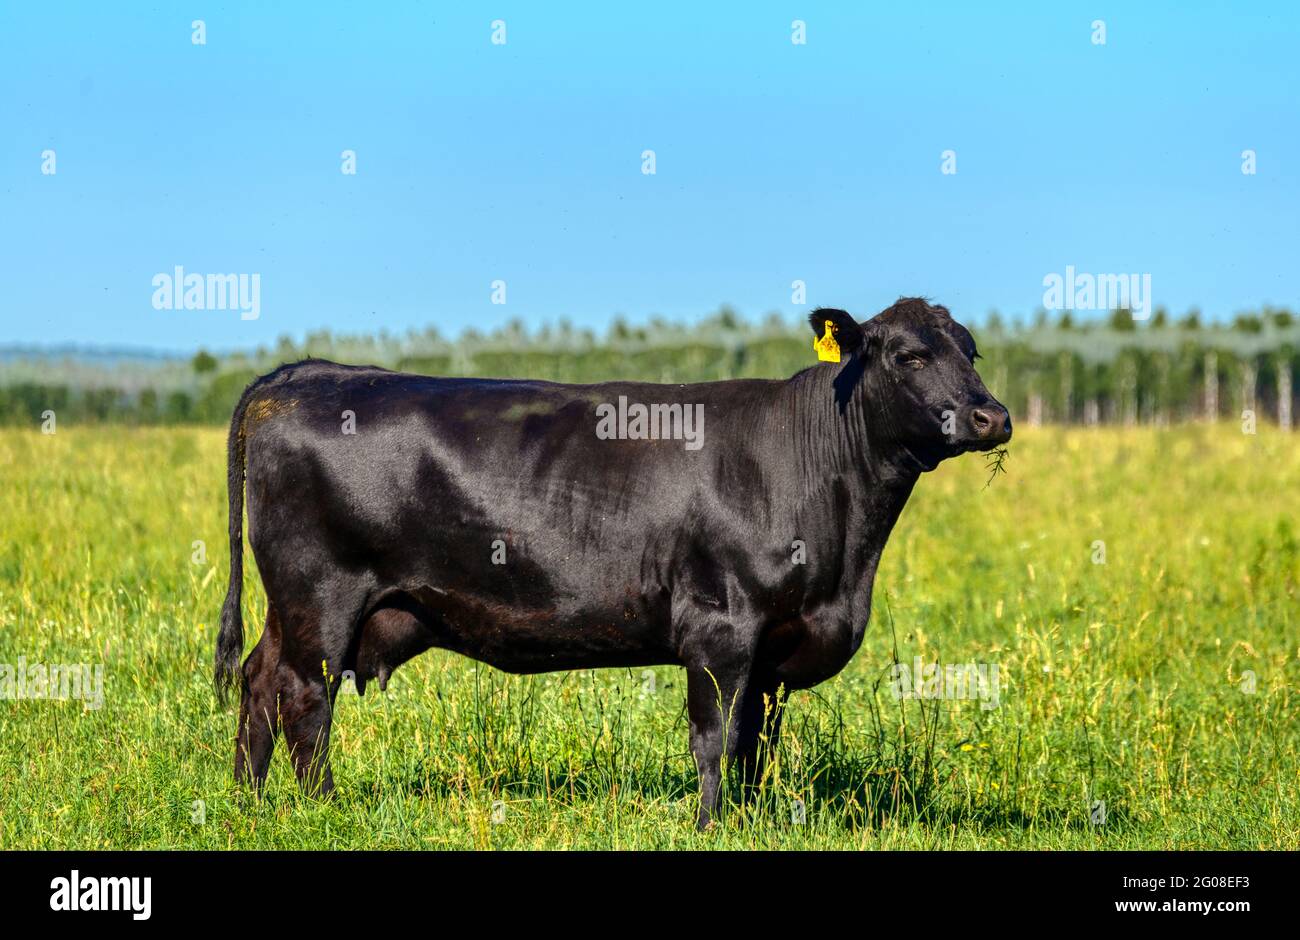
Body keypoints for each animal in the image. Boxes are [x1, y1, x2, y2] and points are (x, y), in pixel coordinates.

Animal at [214, 297, 1011, 828]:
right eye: (910, 356)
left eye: (970, 351)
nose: (993, 416)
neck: (848, 557)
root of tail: (300, 375)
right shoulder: (721, 629)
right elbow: (716, 739)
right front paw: (710, 827)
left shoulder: (774, 645)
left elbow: (757, 745)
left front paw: (750, 823)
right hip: (323, 594)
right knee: (303, 698)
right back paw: (322, 811)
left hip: (294, 604)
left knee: (258, 680)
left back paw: (249, 805)